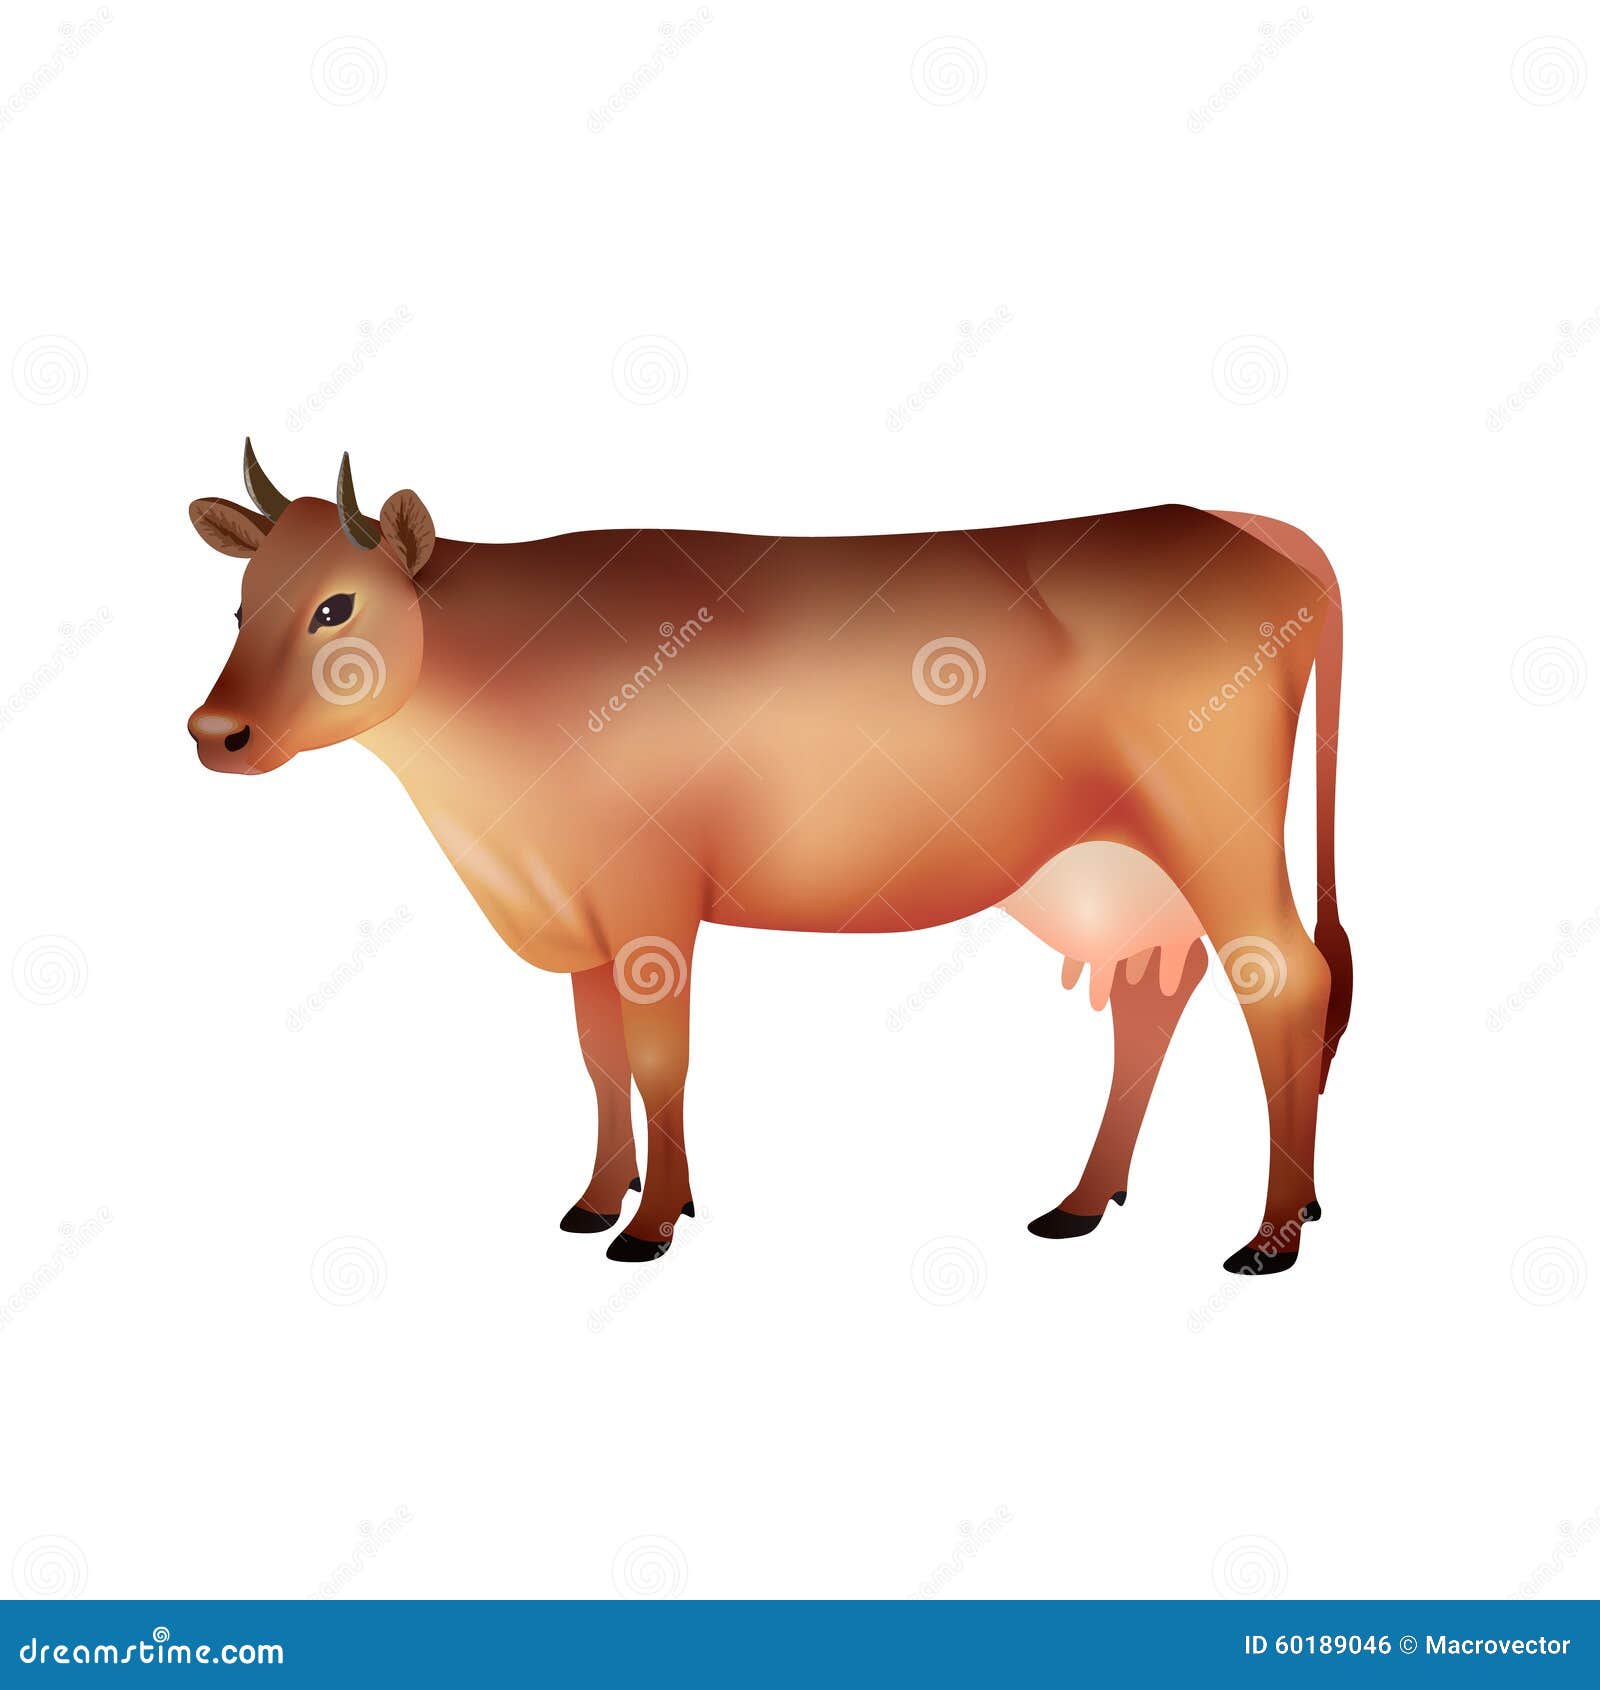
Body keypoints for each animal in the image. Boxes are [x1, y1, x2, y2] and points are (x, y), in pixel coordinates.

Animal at [188, 442, 1352, 1275]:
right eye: (241, 604)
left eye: (337, 605)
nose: (214, 732)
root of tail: (1239, 523)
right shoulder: (583, 915)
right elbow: (598, 1057)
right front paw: (597, 1199)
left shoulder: (649, 897)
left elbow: (659, 1055)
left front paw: (652, 1223)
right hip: (1124, 864)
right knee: (1155, 1000)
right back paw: (1082, 1203)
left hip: (1217, 825)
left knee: (1285, 979)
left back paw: (1270, 1236)